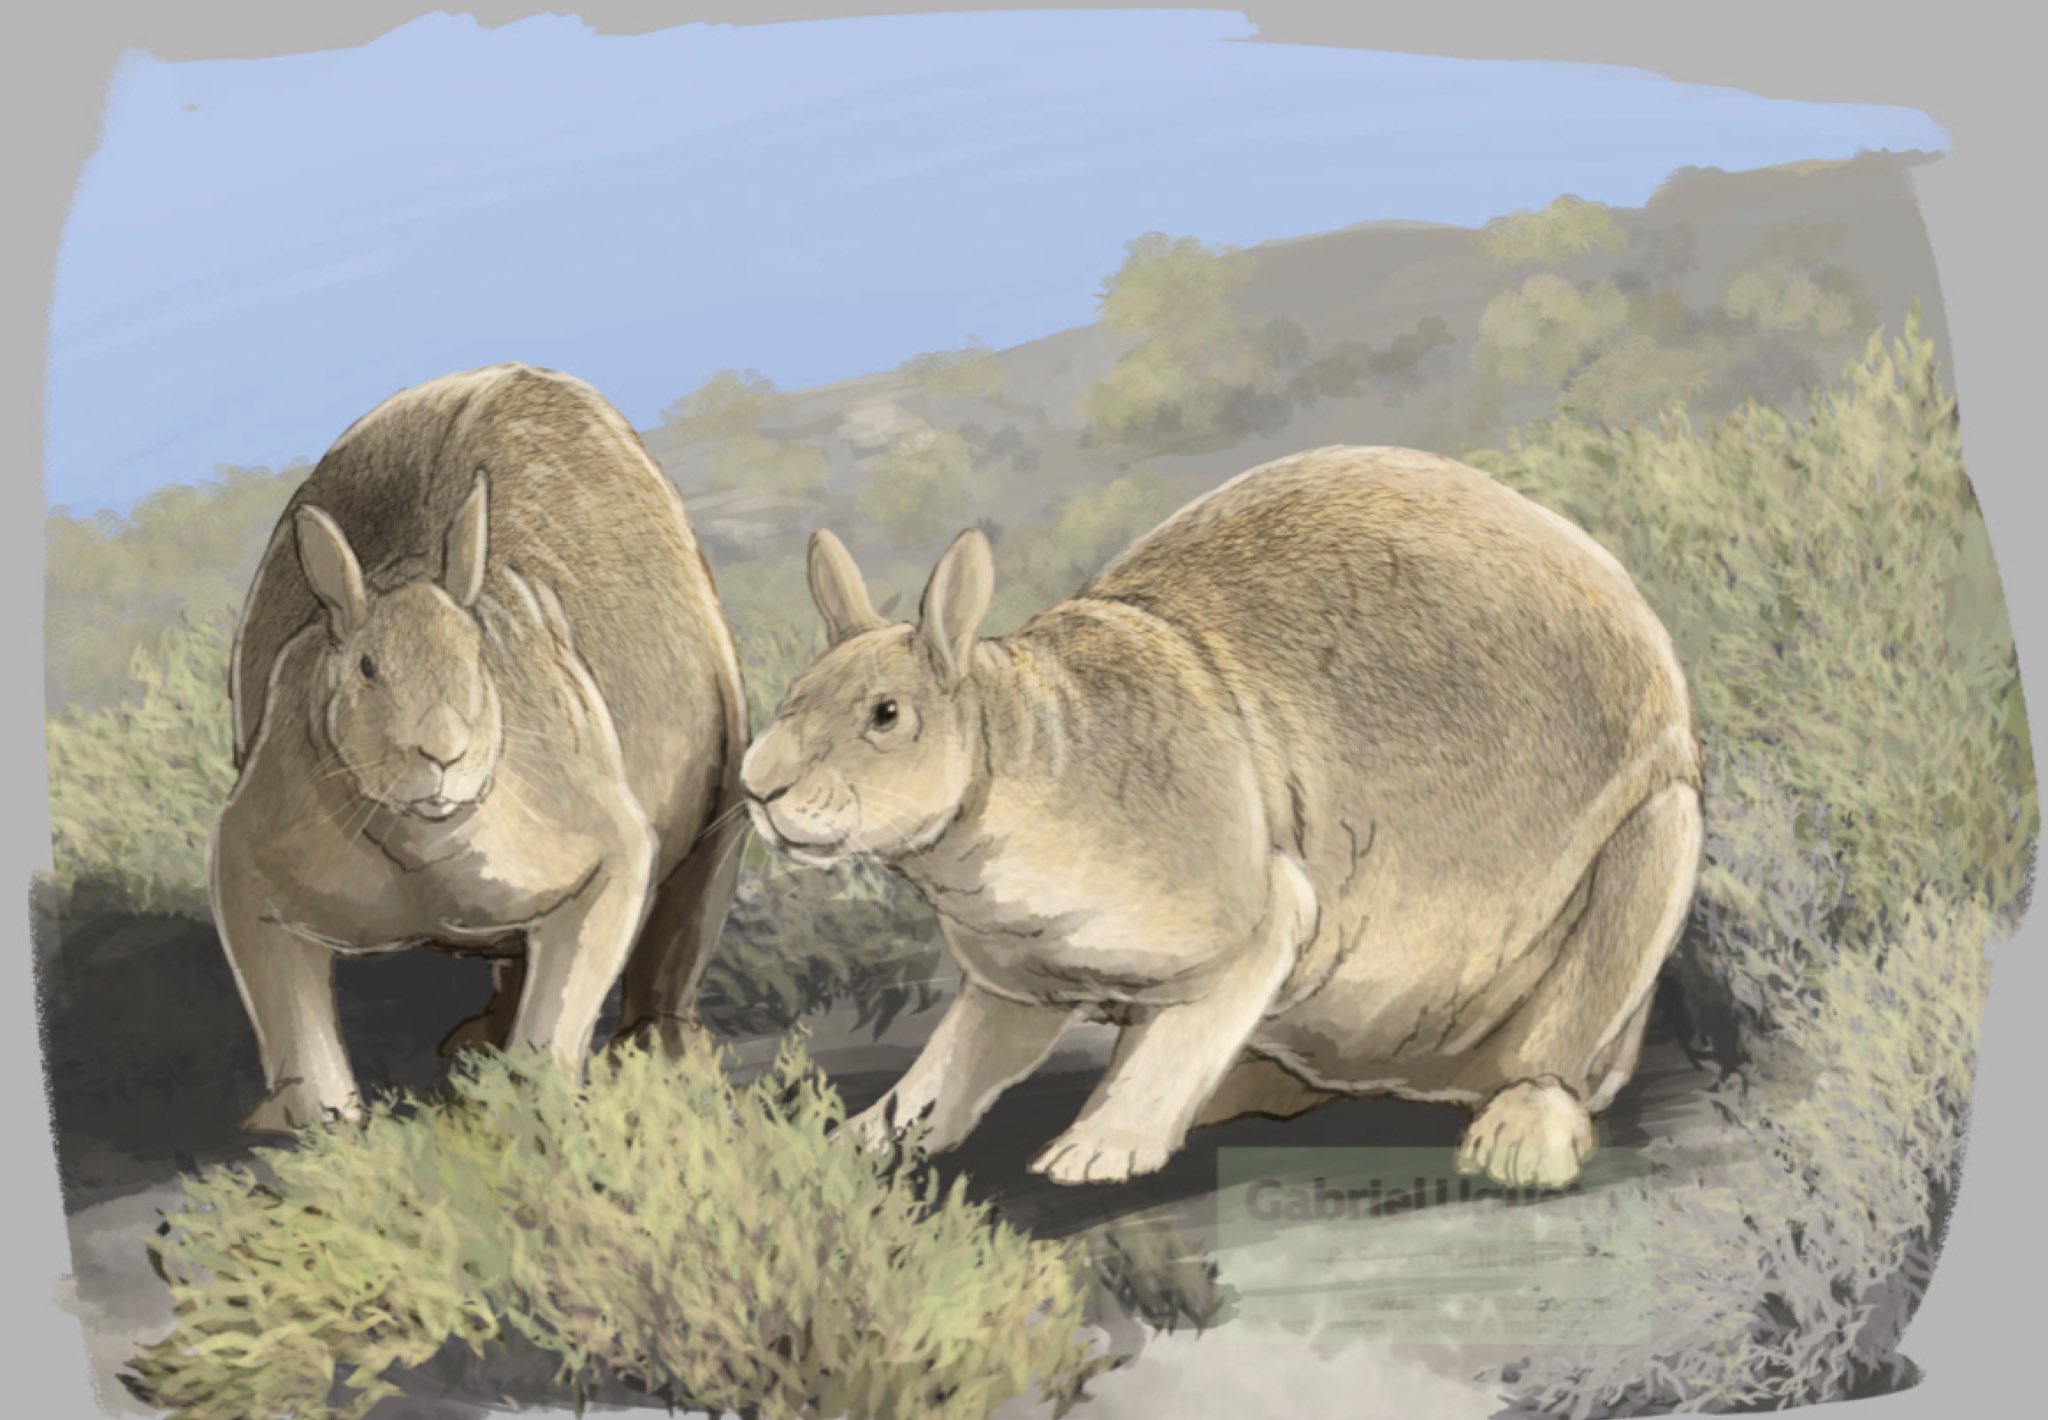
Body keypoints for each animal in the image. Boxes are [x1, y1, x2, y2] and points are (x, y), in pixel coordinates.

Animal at [212, 362, 750, 1132]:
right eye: (366, 670)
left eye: (479, 660)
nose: (443, 756)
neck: (422, 839)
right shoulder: (257, 839)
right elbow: (279, 986)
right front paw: (311, 1128)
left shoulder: (595, 826)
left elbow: (579, 961)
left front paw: (535, 1103)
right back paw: (477, 1044)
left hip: (714, 684)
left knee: (706, 859)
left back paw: (661, 1056)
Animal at [740, 444, 1702, 1189]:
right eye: (790, 698)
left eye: (886, 716)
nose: (755, 787)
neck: (1017, 750)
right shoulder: (1013, 979)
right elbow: (948, 1071)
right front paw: (856, 1141)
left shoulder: (1255, 917)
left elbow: (1176, 1041)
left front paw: (1092, 1158)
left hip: (1657, 836)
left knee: (1568, 1030)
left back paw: (1515, 1145)